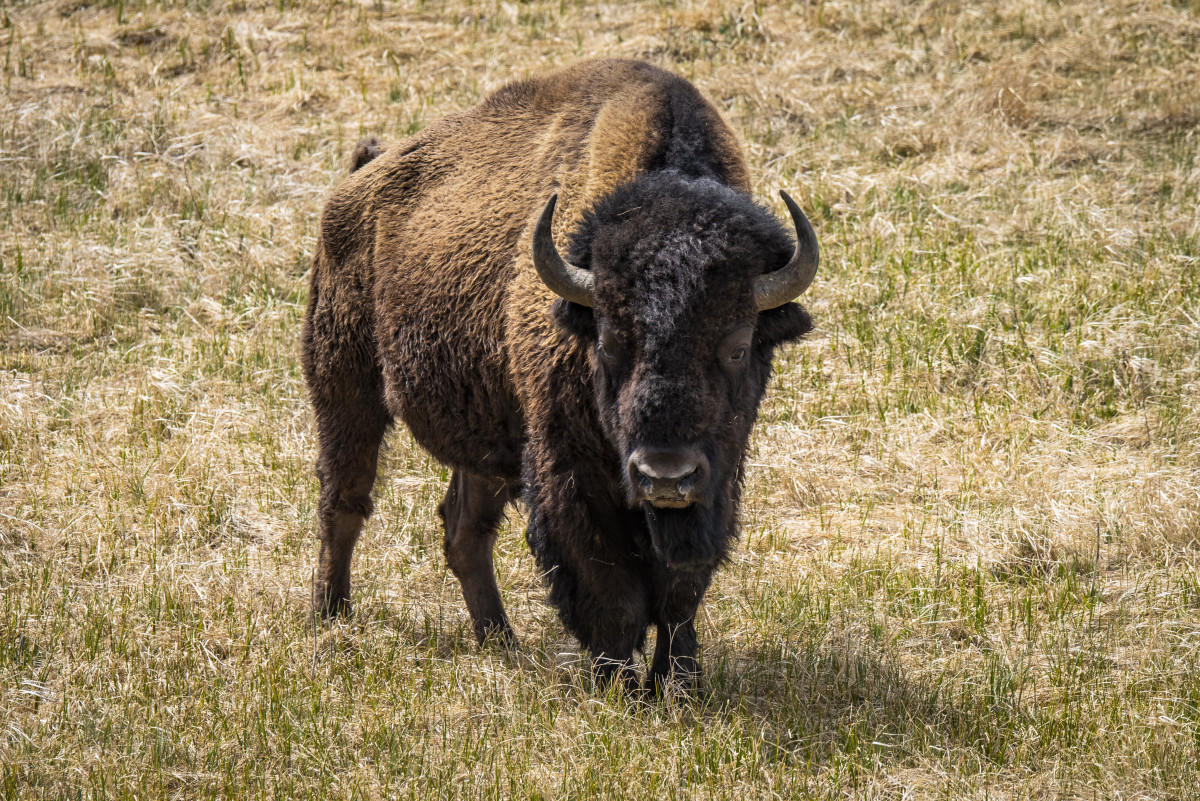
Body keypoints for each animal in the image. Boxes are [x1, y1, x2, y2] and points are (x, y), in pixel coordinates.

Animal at [302, 59, 818, 693]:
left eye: (739, 346)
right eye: (610, 340)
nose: (664, 476)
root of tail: (357, 180)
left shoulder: (718, 475)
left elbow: (681, 589)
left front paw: (679, 682)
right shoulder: (568, 470)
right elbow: (610, 589)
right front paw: (617, 687)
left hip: (489, 439)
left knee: (464, 530)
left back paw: (500, 641)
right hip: (344, 381)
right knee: (343, 500)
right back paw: (330, 616)